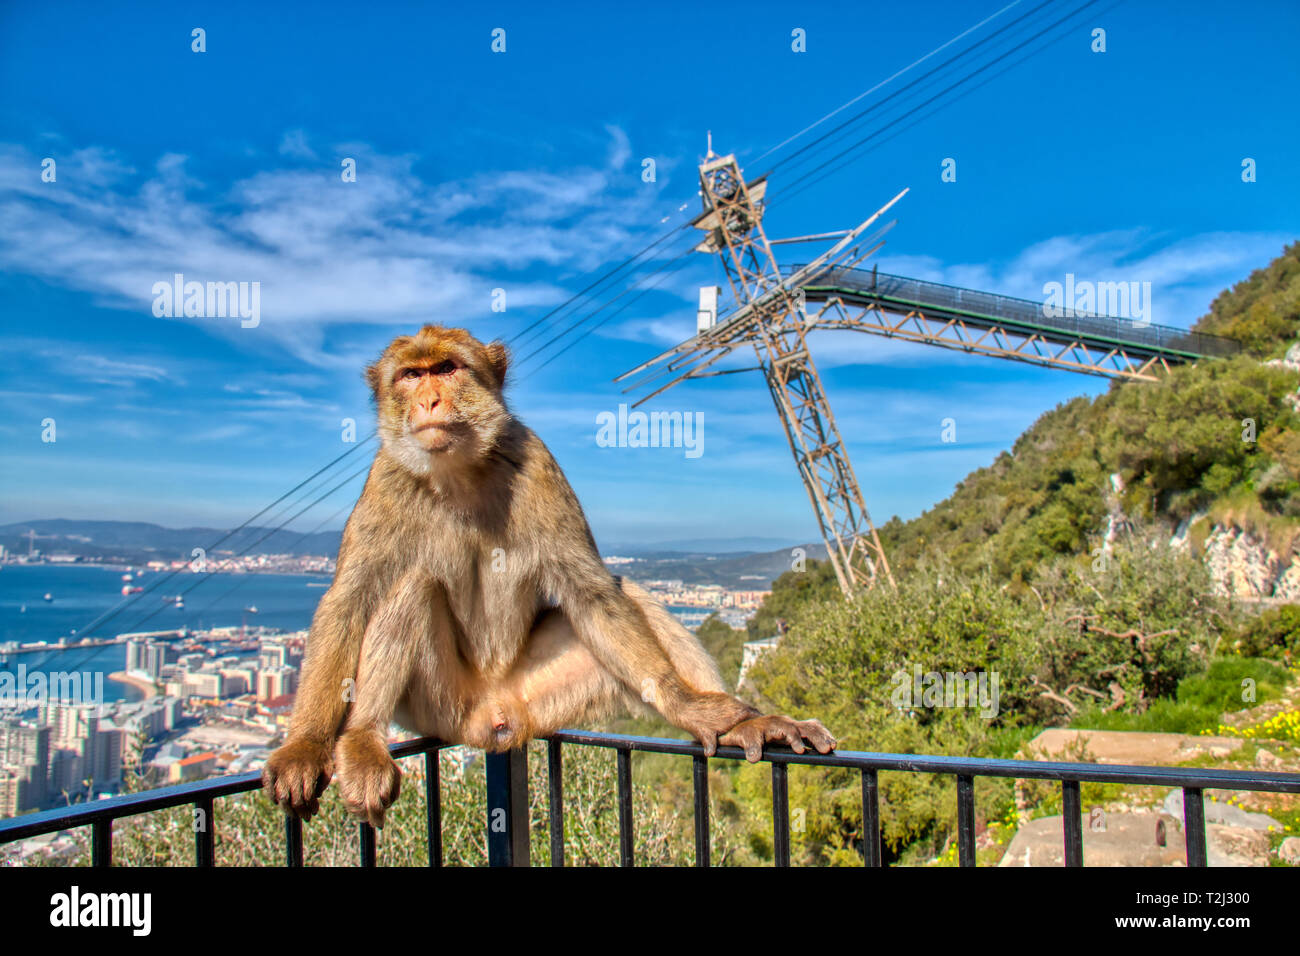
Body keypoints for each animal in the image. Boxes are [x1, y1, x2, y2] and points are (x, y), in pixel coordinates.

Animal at [262, 325, 835, 827]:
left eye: (446, 368)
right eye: (409, 375)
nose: (428, 401)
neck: (458, 471)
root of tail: (489, 717)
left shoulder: (534, 458)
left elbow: (592, 589)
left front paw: (691, 706)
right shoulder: (387, 476)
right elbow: (349, 598)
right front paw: (305, 745)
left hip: (540, 698)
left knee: (629, 594)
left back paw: (739, 721)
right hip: (440, 708)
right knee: (410, 586)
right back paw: (362, 740)